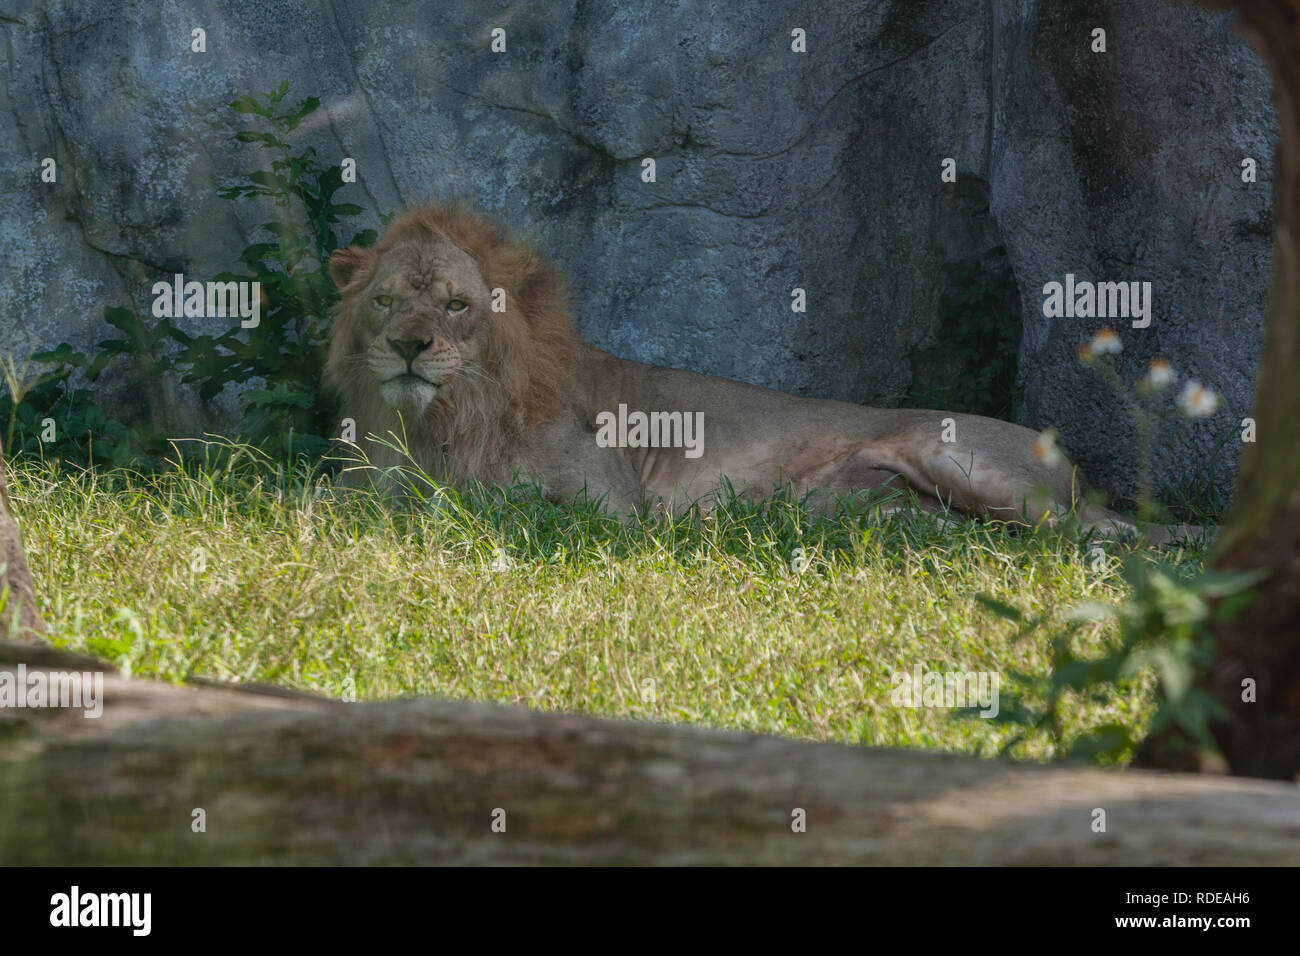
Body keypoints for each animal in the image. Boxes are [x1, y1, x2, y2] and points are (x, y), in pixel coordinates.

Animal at [325, 204, 1203, 545]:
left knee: (1111, 531)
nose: (408, 346)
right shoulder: (368, 483)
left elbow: (508, 505)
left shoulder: (615, 507)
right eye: (387, 301)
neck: (438, 420)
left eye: (455, 305)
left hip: (974, 463)